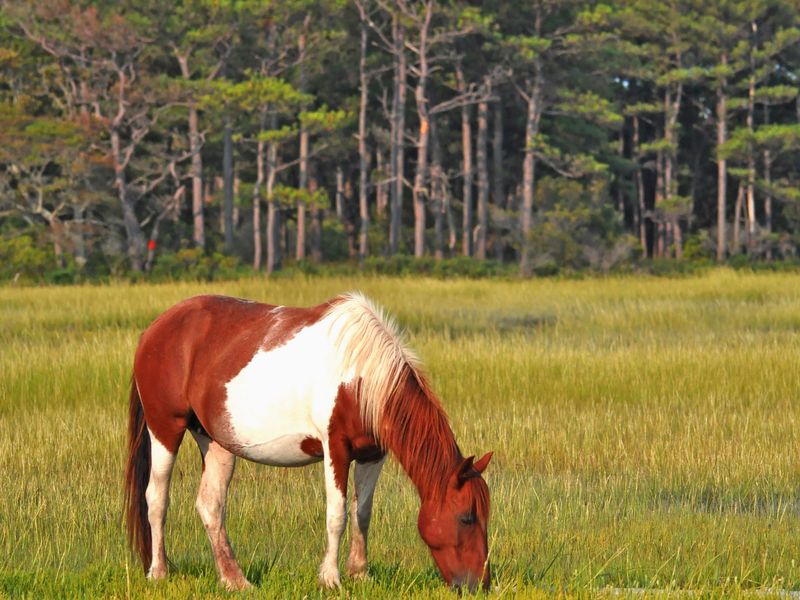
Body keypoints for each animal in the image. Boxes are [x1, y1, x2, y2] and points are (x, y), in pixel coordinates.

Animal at [124, 292, 492, 592]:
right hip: (165, 428)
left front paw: (360, 574)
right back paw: (159, 573)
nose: (479, 585)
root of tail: (156, 328)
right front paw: (331, 578)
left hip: (216, 442)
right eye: (466, 517)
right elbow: (337, 514)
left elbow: (362, 512)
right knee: (156, 498)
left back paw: (235, 580)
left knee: (210, 505)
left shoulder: (373, 454)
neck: (360, 378)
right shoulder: (335, 449)